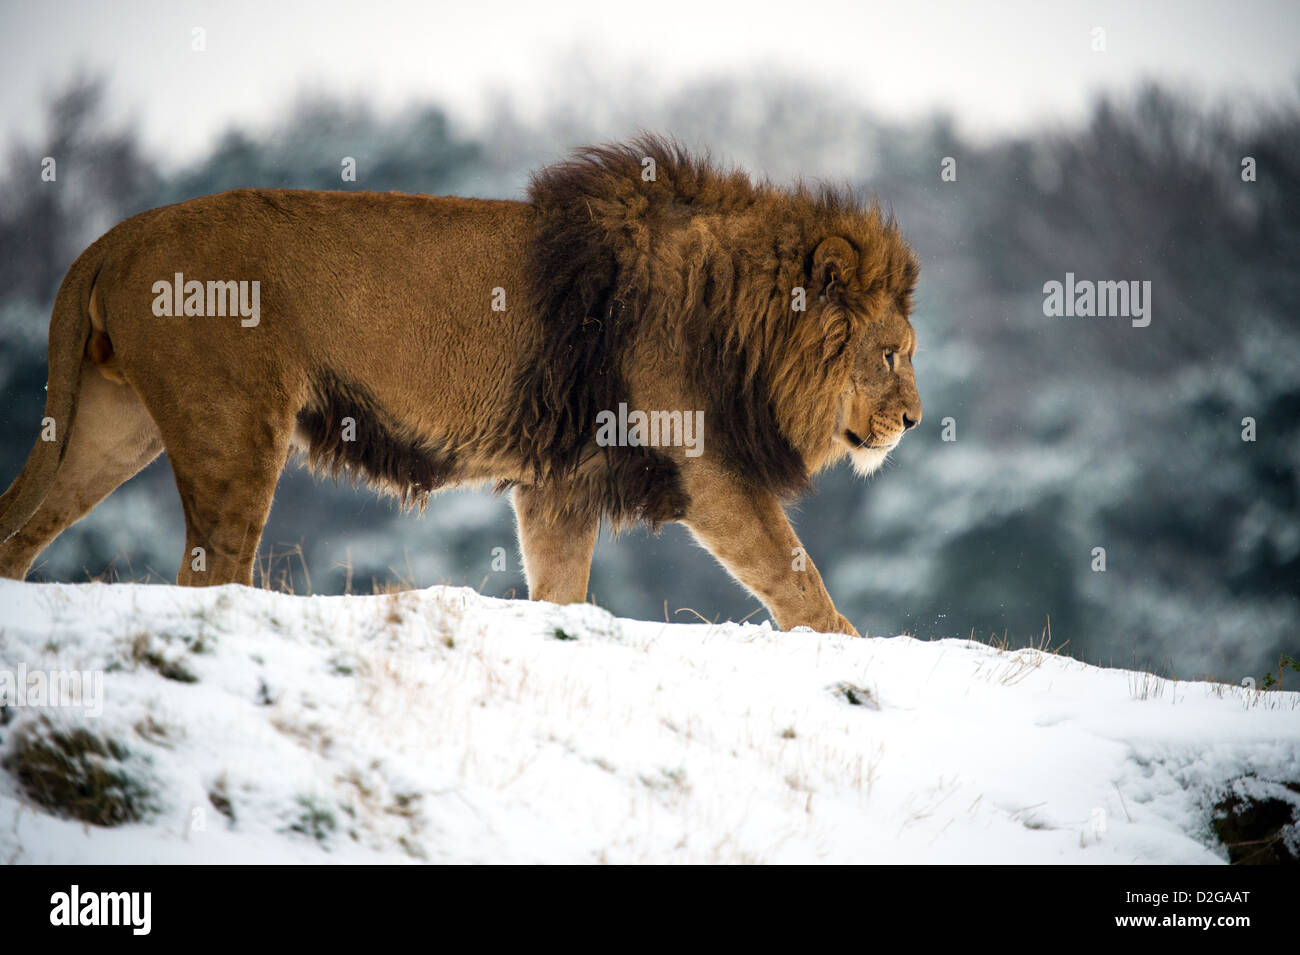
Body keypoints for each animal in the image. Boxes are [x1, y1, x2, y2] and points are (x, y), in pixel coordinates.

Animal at [0, 136, 920, 636]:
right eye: (890, 354)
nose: (914, 421)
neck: (743, 316)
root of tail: (116, 237)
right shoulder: (705, 462)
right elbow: (795, 573)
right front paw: (853, 647)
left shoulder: (564, 484)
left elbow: (560, 588)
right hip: (232, 426)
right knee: (206, 573)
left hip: (111, 424)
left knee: (21, 526)